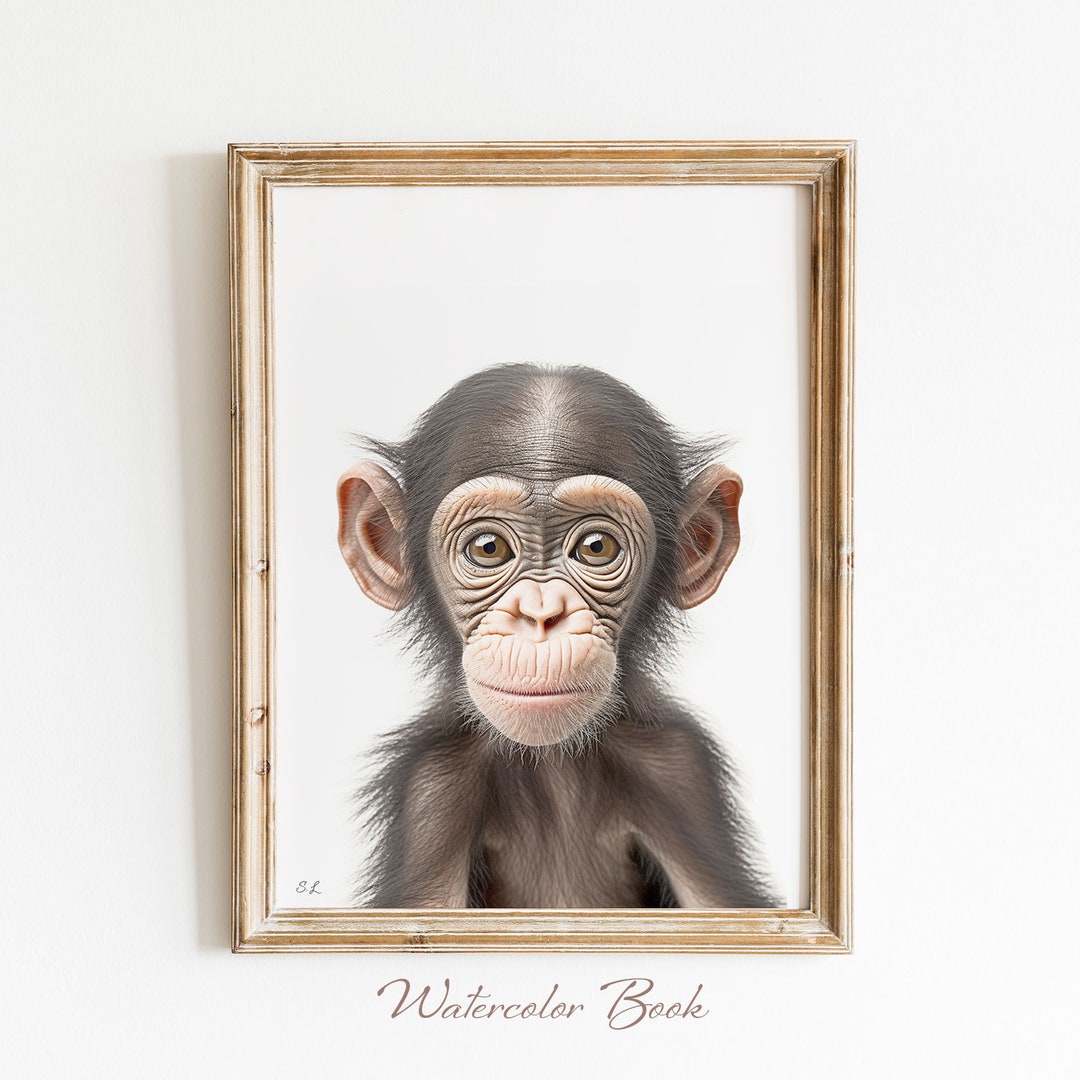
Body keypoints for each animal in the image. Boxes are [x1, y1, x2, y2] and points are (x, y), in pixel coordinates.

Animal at [337, 363, 779, 909]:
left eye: (596, 546)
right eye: (488, 548)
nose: (541, 614)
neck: (552, 763)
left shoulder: (682, 773)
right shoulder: (431, 796)